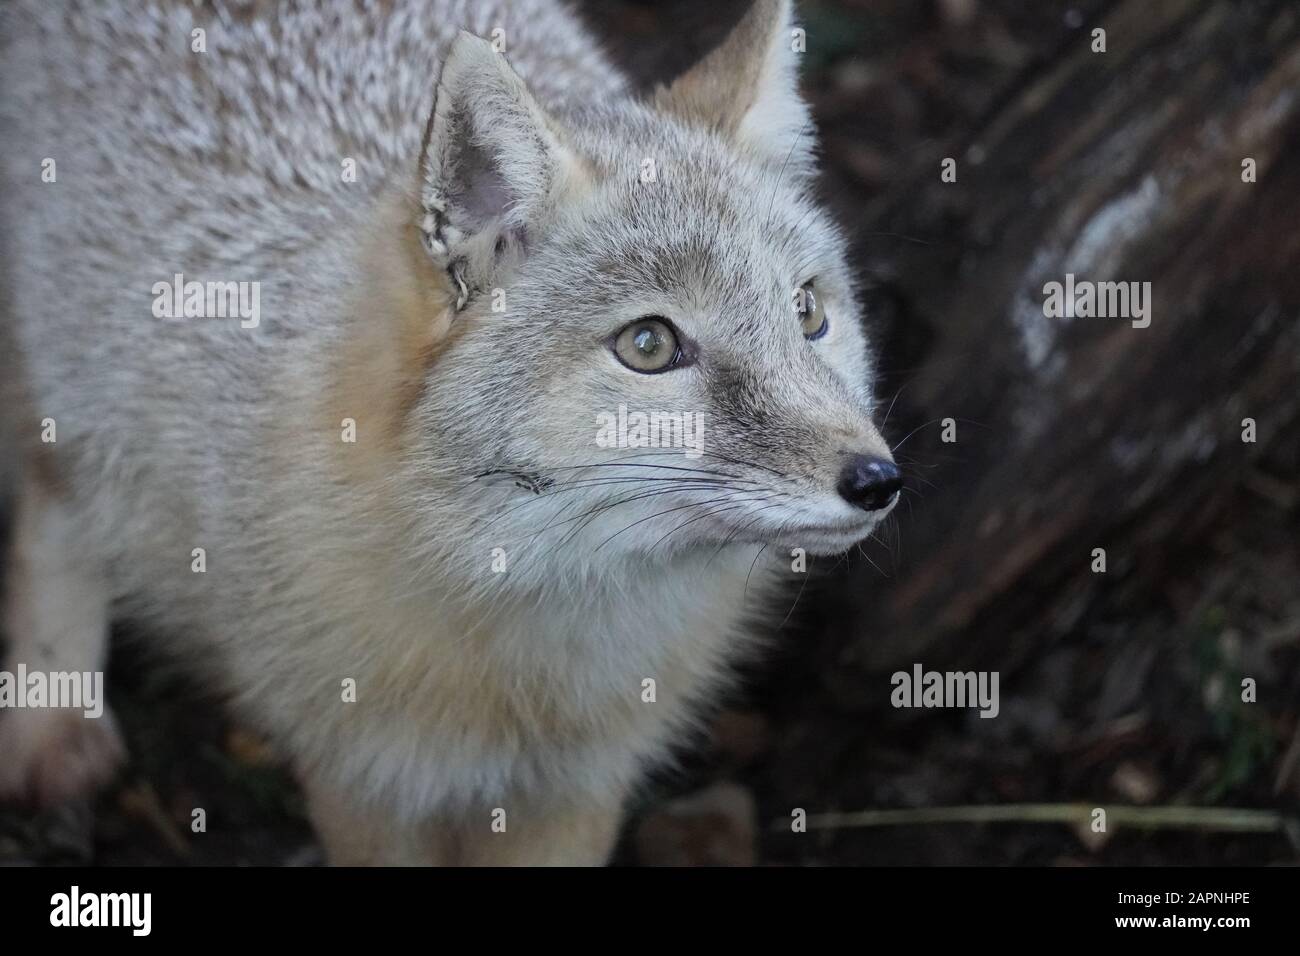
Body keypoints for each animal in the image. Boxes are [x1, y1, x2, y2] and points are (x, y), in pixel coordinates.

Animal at [0, 0, 901, 864]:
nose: (877, 481)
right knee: (49, 509)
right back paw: (52, 718)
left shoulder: (579, 787)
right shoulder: (362, 775)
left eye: (808, 313)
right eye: (649, 345)